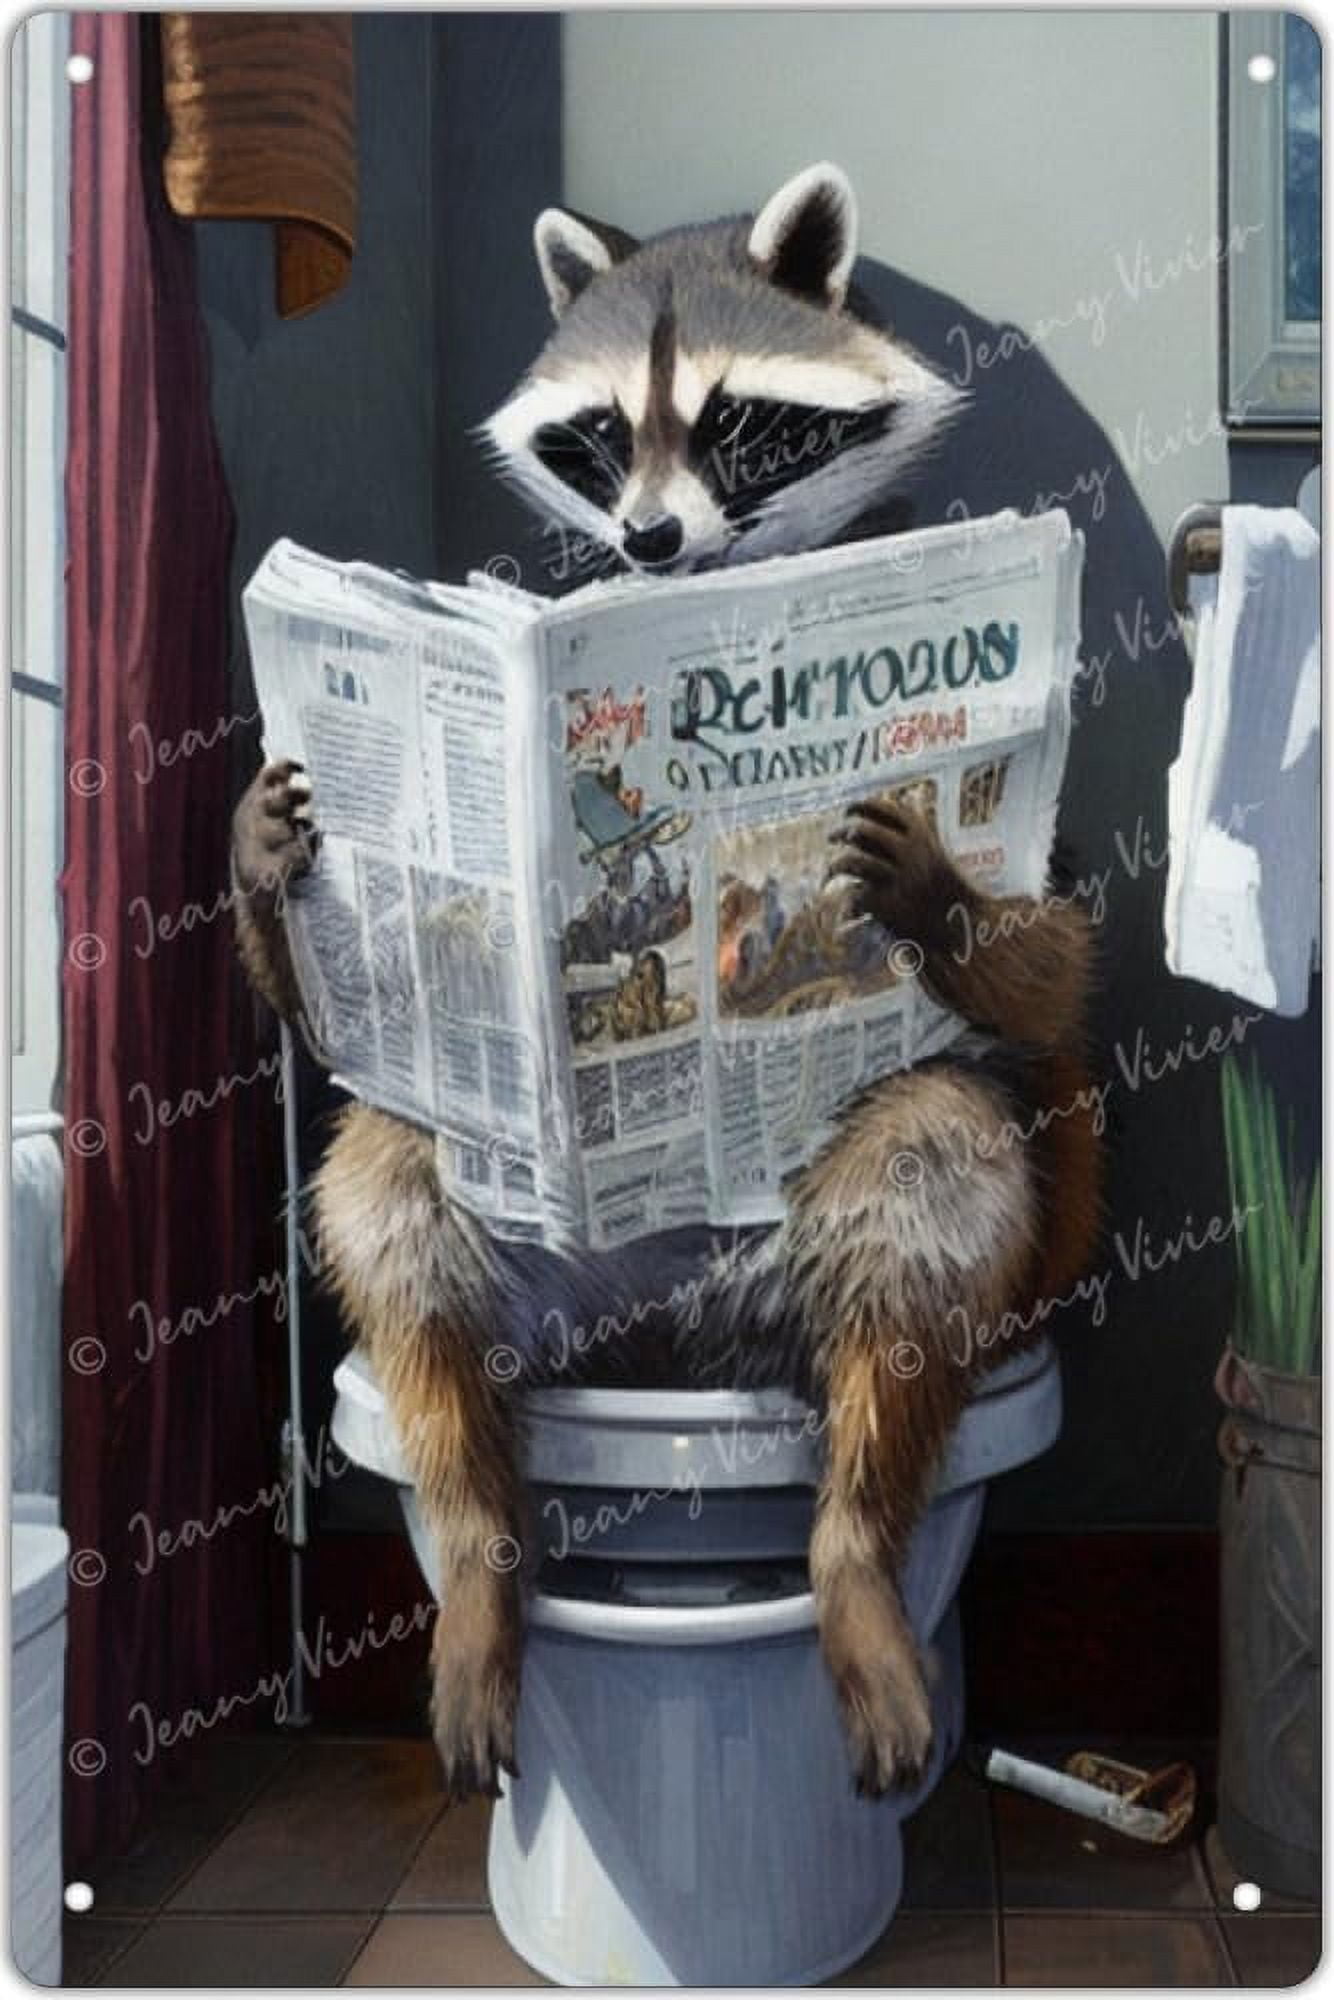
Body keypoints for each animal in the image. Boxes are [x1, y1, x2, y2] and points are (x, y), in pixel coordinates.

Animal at [234, 166, 1099, 1802]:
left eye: (731, 421)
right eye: (597, 431)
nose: (642, 544)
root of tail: (672, 1341)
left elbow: (1059, 973)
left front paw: (941, 892)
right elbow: (338, 1039)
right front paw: (263, 858)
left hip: (833, 1270)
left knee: (934, 1158)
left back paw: (851, 1558)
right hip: (541, 1280)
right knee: (395, 1187)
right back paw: (484, 1566)